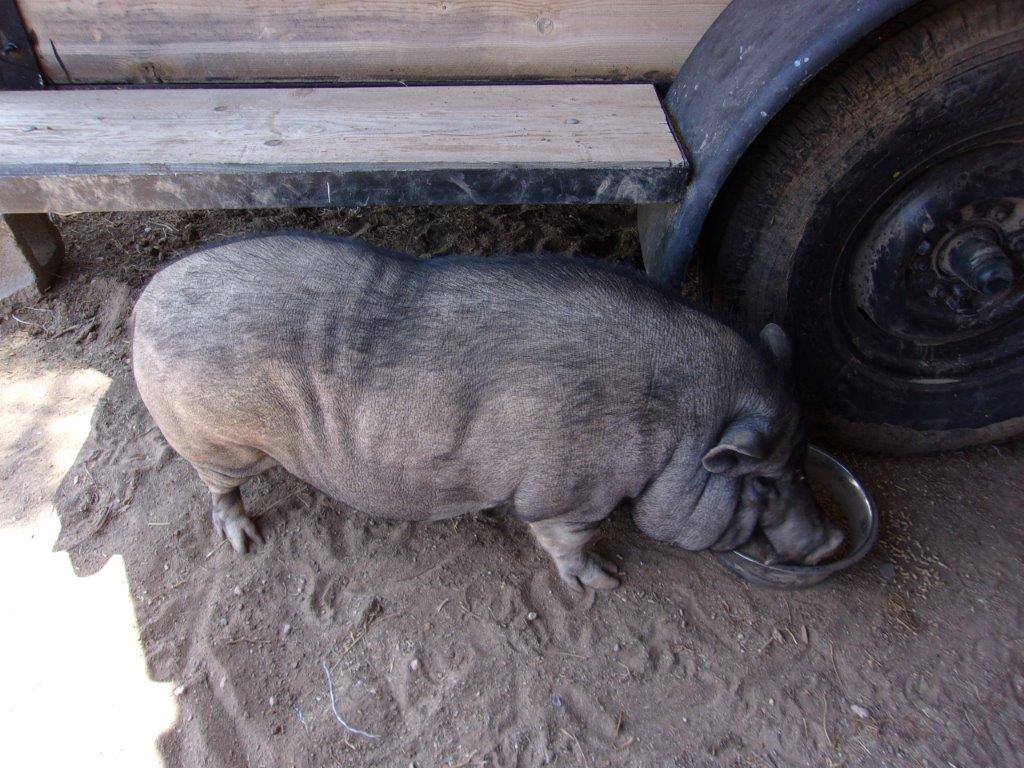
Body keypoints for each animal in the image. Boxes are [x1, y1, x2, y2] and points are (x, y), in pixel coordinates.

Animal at [131, 233, 844, 592]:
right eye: (766, 481)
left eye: (805, 463)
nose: (833, 539)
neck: (674, 429)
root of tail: (147, 300)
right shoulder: (569, 494)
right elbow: (569, 541)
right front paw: (608, 581)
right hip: (215, 441)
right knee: (219, 488)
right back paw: (245, 539)